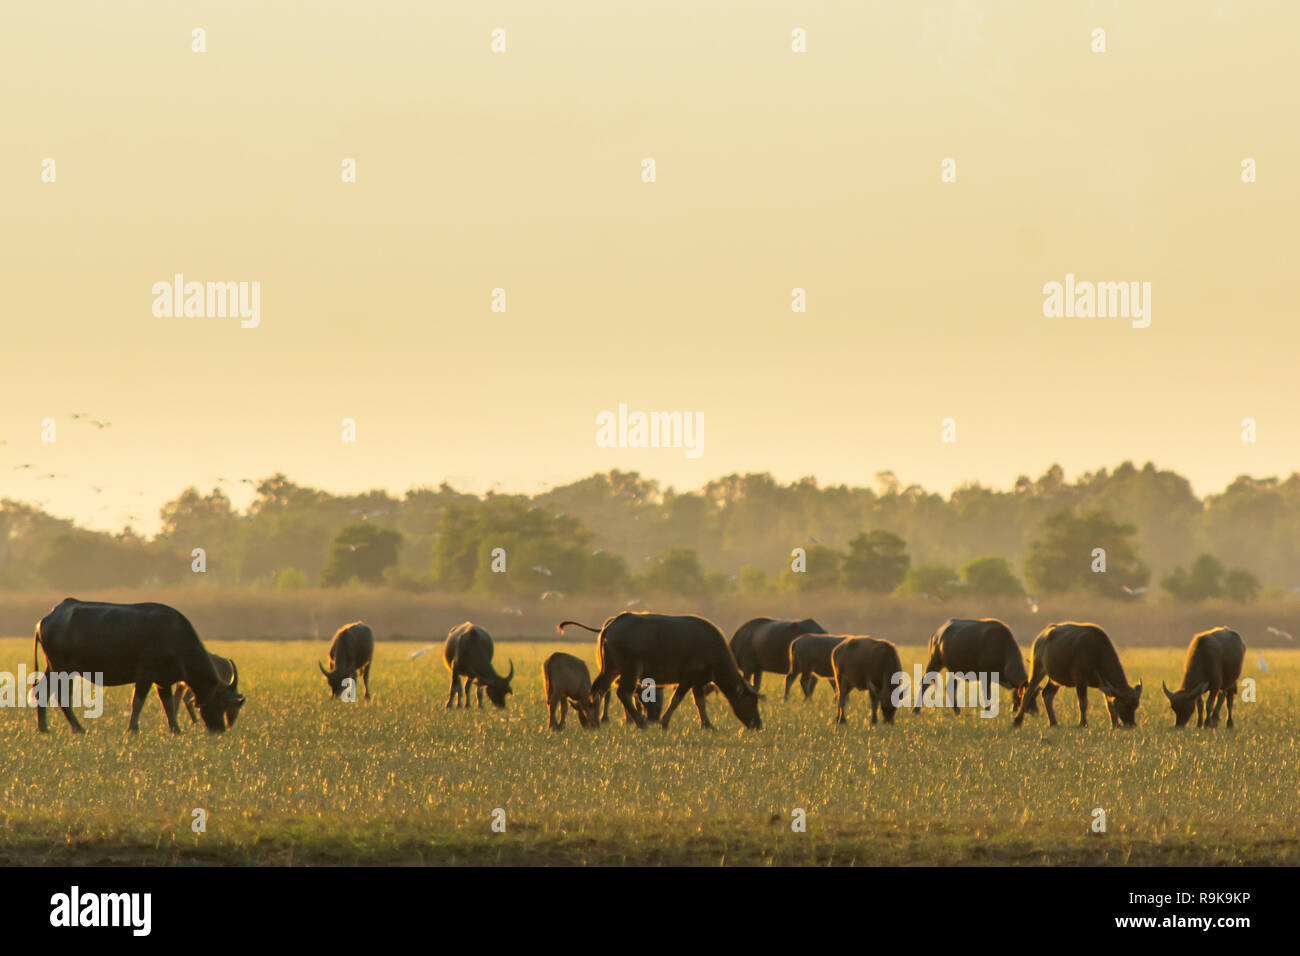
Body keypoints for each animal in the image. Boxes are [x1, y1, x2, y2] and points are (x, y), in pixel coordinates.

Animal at [32, 598, 245, 734]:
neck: (174, 637)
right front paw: (132, 728)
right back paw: (78, 728)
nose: (220, 729)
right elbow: (138, 702)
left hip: (52, 667)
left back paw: (44, 728)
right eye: (221, 702)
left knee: (42, 691)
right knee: (61, 696)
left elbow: (168, 704)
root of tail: (45, 619)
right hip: (62, 669)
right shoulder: (145, 675)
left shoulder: (163, 680)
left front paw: (175, 729)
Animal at [559, 613, 761, 730]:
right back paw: (639, 722)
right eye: (751, 701)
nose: (758, 725)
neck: (712, 648)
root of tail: (611, 624)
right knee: (623, 692)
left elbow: (700, 703)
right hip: (631, 667)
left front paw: (707, 725)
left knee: (598, 690)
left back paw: (593, 720)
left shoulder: (697, 681)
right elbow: (676, 700)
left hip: (611, 668)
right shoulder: (687, 679)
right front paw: (664, 723)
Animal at [1012, 622, 1142, 728]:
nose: (1132, 724)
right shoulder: (1080, 681)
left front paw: (1115, 724)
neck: (1097, 653)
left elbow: (1109, 704)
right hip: (1038, 670)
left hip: (1055, 679)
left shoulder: (1104, 684)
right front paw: (1083, 723)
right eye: (1124, 705)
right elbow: (1083, 703)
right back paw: (1017, 721)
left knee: (1047, 694)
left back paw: (1053, 722)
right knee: (1028, 692)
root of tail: (1041, 637)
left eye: (1136, 706)